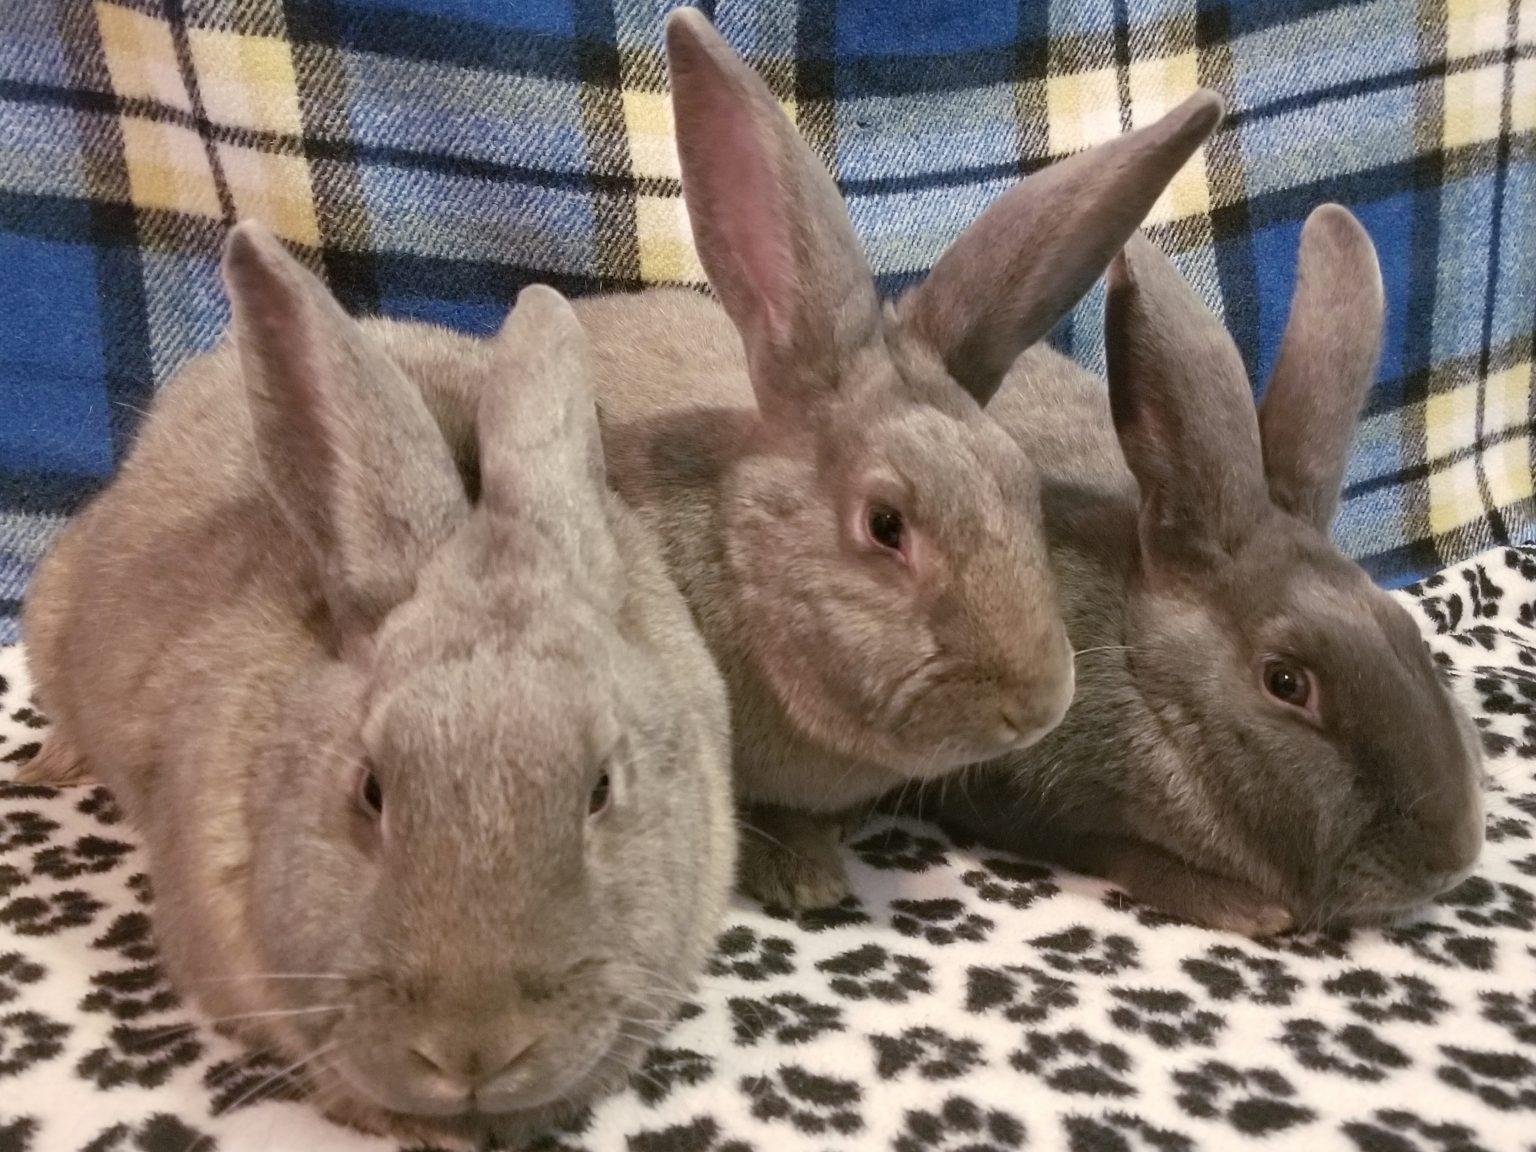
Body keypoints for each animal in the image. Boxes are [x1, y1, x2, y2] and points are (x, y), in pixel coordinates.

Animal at [928, 205, 1485, 936]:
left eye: (1406, 632)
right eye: (1286, 682)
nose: (1454, 855)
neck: (1139, 671)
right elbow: (1113, 850)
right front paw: (1248, 910)